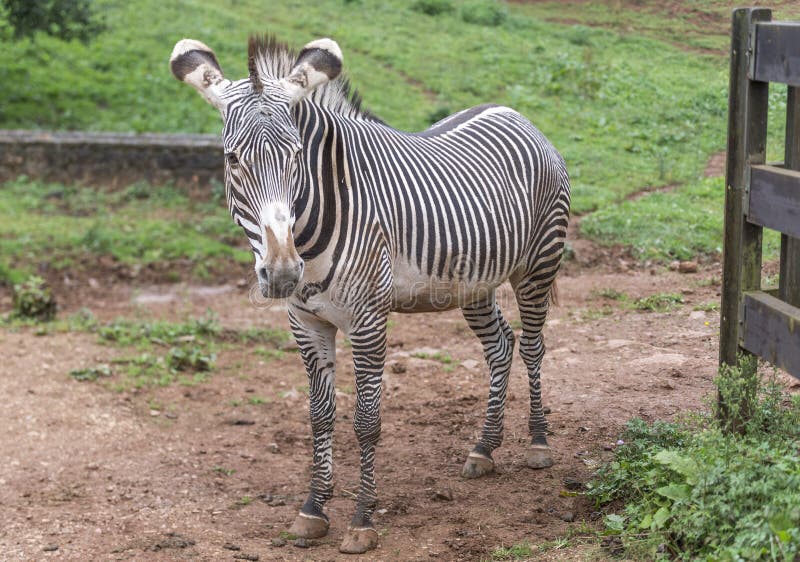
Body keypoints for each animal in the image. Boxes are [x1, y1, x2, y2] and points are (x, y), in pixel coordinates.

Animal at [170, 34, 570, 554]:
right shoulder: (307, 322)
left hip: (538, 265)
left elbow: (366, 421)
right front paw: (313, 510)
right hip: (474, 280)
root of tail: (515, 113)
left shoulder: (368, 320)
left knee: (535, 346)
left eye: (296, 155)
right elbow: (320, 416)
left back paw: (539, 443)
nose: (282, 274)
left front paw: (362, 520)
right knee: (501, 345)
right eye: (233, 159)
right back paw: (483, 449)